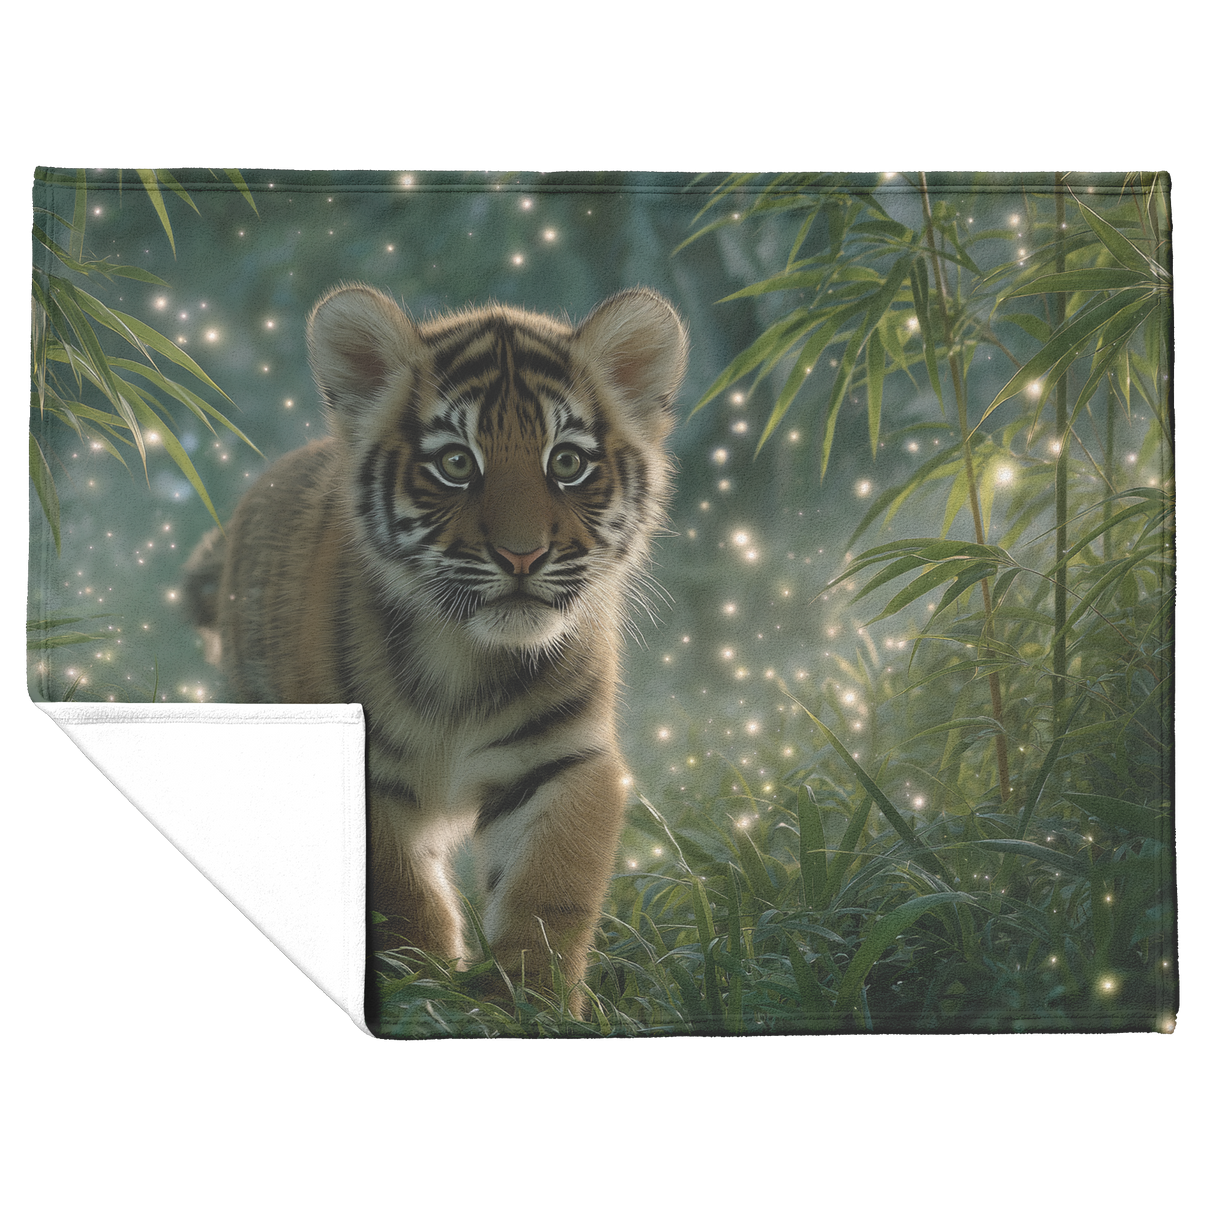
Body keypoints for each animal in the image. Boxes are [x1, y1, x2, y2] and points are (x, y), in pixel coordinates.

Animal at [184, 283, 688, 1022]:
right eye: (456, 464)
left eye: (566, 463)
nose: (522, 555)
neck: (466, 652)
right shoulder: (372, 772)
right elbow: (402, 900)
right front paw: (423, 994)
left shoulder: (563, 758)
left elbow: (546, 893)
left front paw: (526, 1005)